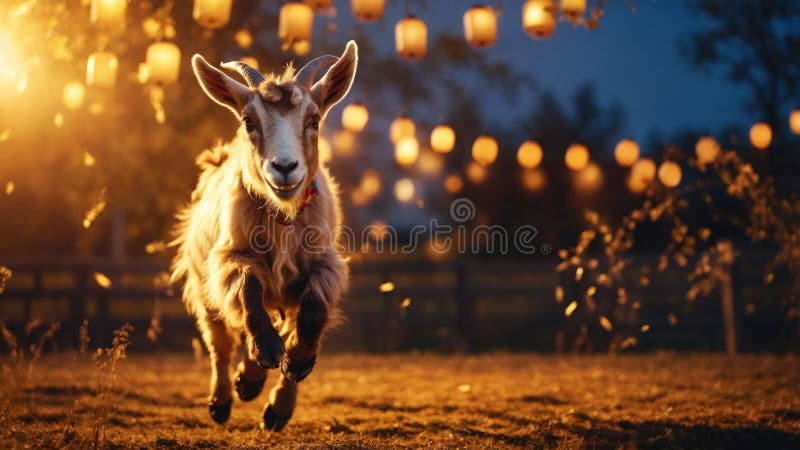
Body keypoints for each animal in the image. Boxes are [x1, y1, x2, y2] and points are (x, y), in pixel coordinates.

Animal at [170, 41, 357, 431]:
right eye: (249, 121)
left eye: (314, 119)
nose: (284, 167)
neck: (282, 217)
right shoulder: (228, 258)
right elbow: (246, 289)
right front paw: (263, 357)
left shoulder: (326, 261)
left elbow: (314, 311)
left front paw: (296, 362)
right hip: (201, 284)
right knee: (221, 342)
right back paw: (227, 397)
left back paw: (273, 404)